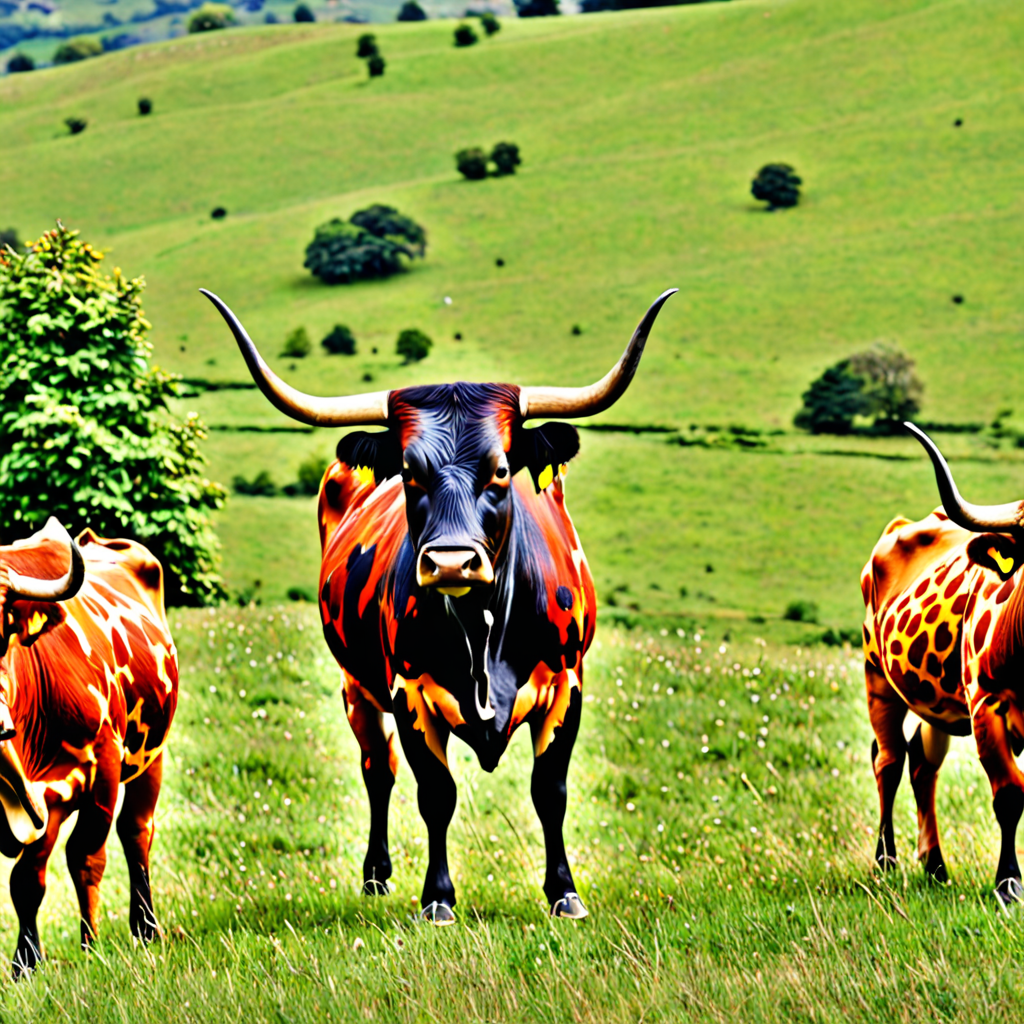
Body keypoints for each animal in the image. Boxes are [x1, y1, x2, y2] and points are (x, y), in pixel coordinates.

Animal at [0, 518, 178, 972]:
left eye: (3, 631)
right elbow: (28, 879)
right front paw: (26, 962)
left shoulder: (98, 767)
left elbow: (81, 858)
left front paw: (87, 947)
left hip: (151, 755)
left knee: (136, 831)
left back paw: (146, 928)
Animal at [201, 287, 675, 923]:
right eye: (408, 471)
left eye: (500, 469)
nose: (451, 563)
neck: (481, 630)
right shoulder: (411, 693)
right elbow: (436, 794)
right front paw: (438, 899)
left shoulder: (566, 684)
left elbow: (549, 790)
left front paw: (564, 893)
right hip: (357, 686)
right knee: (377, 771)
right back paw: (375, 875)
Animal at [862, 423, 1024, 905]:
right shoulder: (987, 705)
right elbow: (1009, 795)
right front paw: (1008, 885)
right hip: (878, 680)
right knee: (889, 760)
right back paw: (886, 862)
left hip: (938, 706)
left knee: (921, 764)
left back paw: (934, 866)